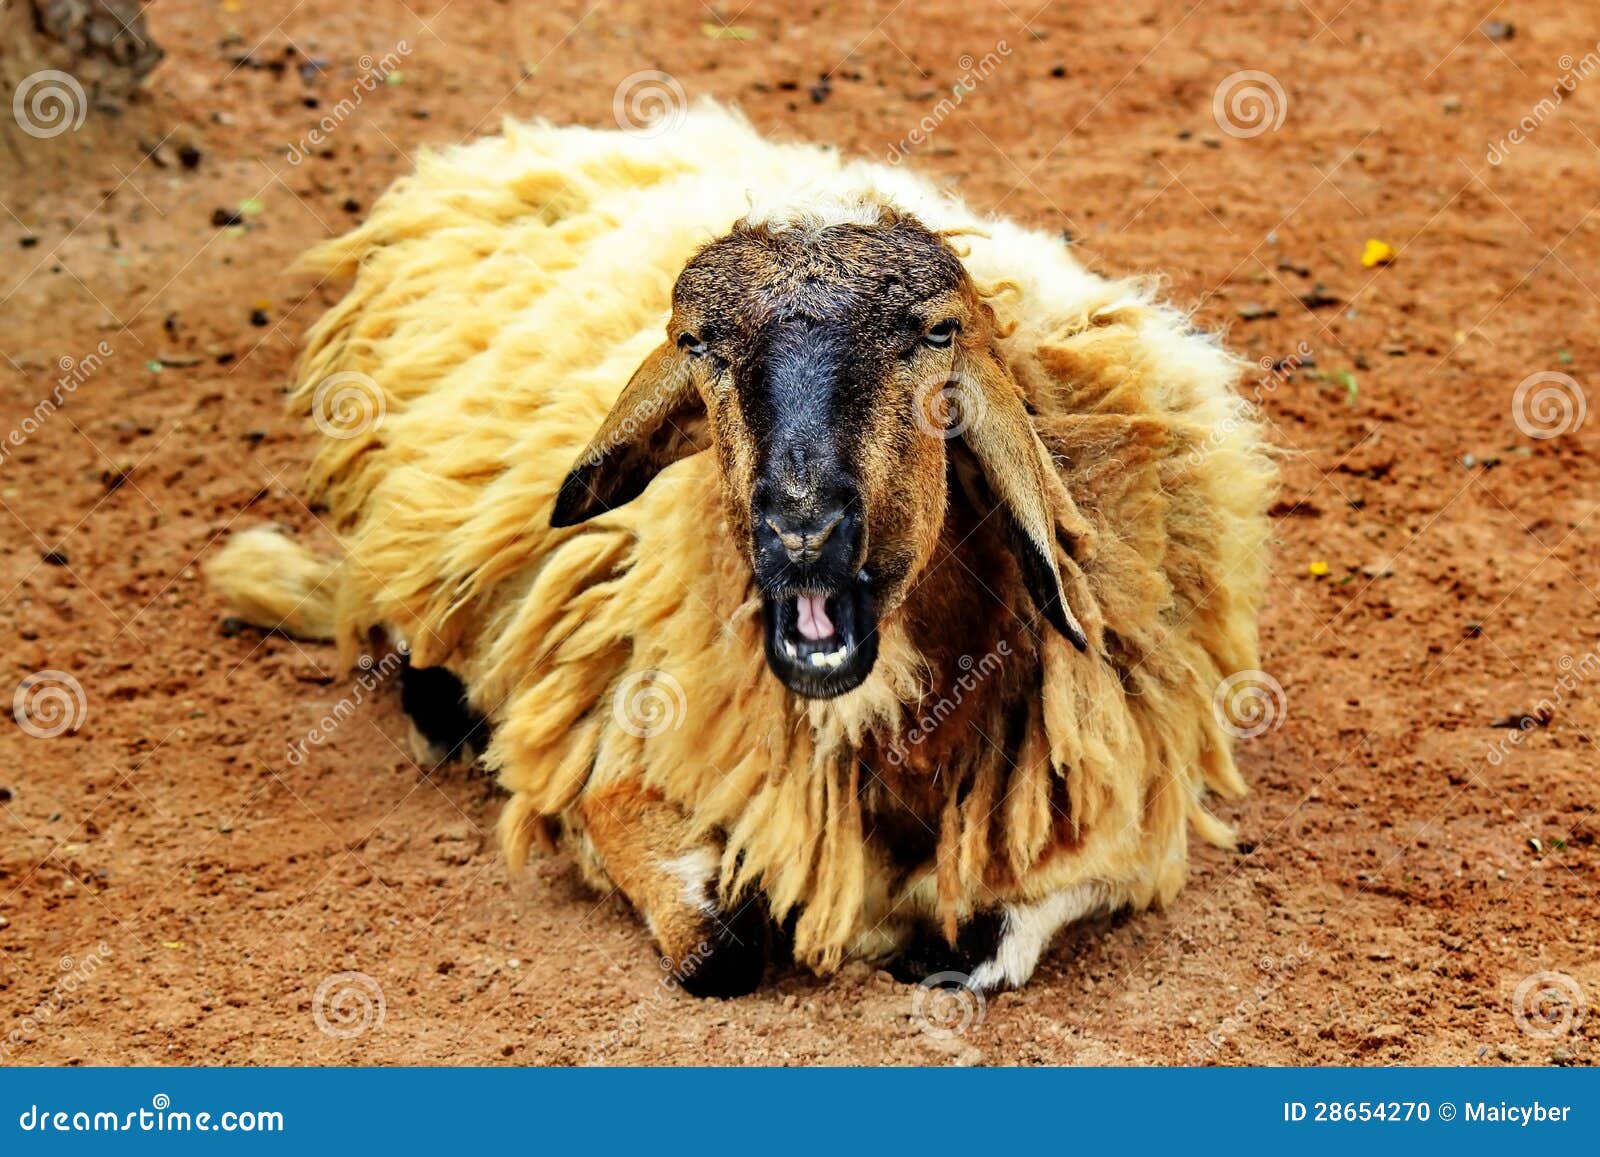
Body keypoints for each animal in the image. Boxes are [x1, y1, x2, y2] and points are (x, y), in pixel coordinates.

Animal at [207, 102, 1276, 997]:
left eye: (935, 336)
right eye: (700, 346)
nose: (800, 525)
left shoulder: (1124, 817)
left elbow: (983, 940)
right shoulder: (627, 739)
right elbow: (705, 941)